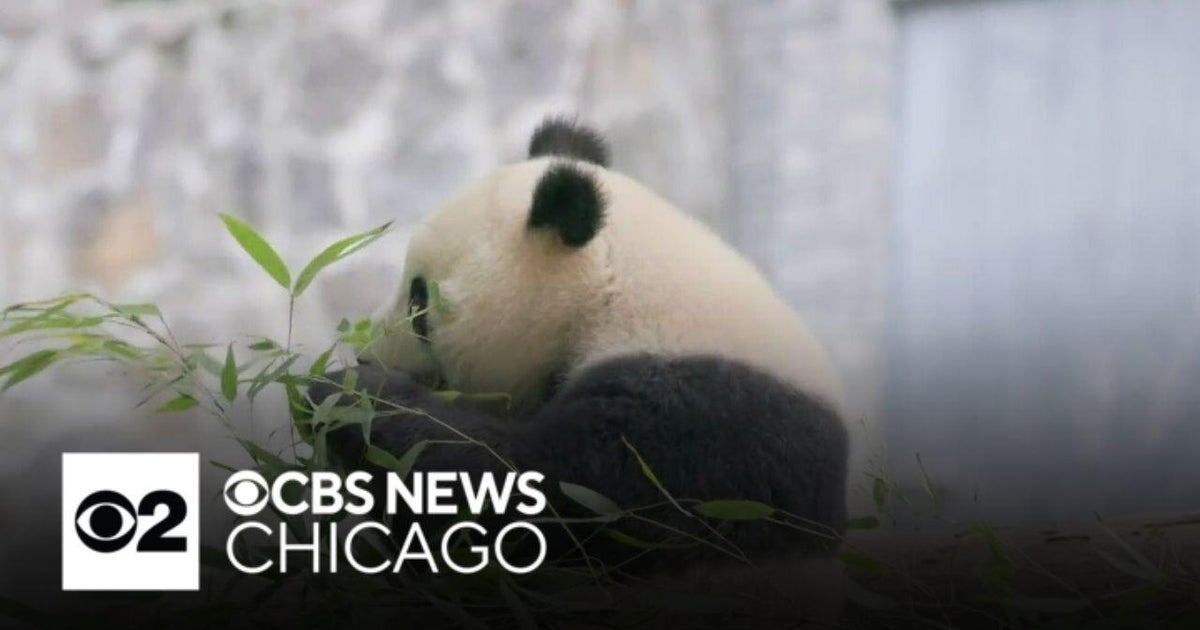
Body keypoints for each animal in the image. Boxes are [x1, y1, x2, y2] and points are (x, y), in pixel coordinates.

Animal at [313, 117, 849, 610]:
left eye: (419, 302)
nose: (367, 353)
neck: (611, 287)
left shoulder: (698, 426)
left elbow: (545, 499)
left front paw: (345, 393)